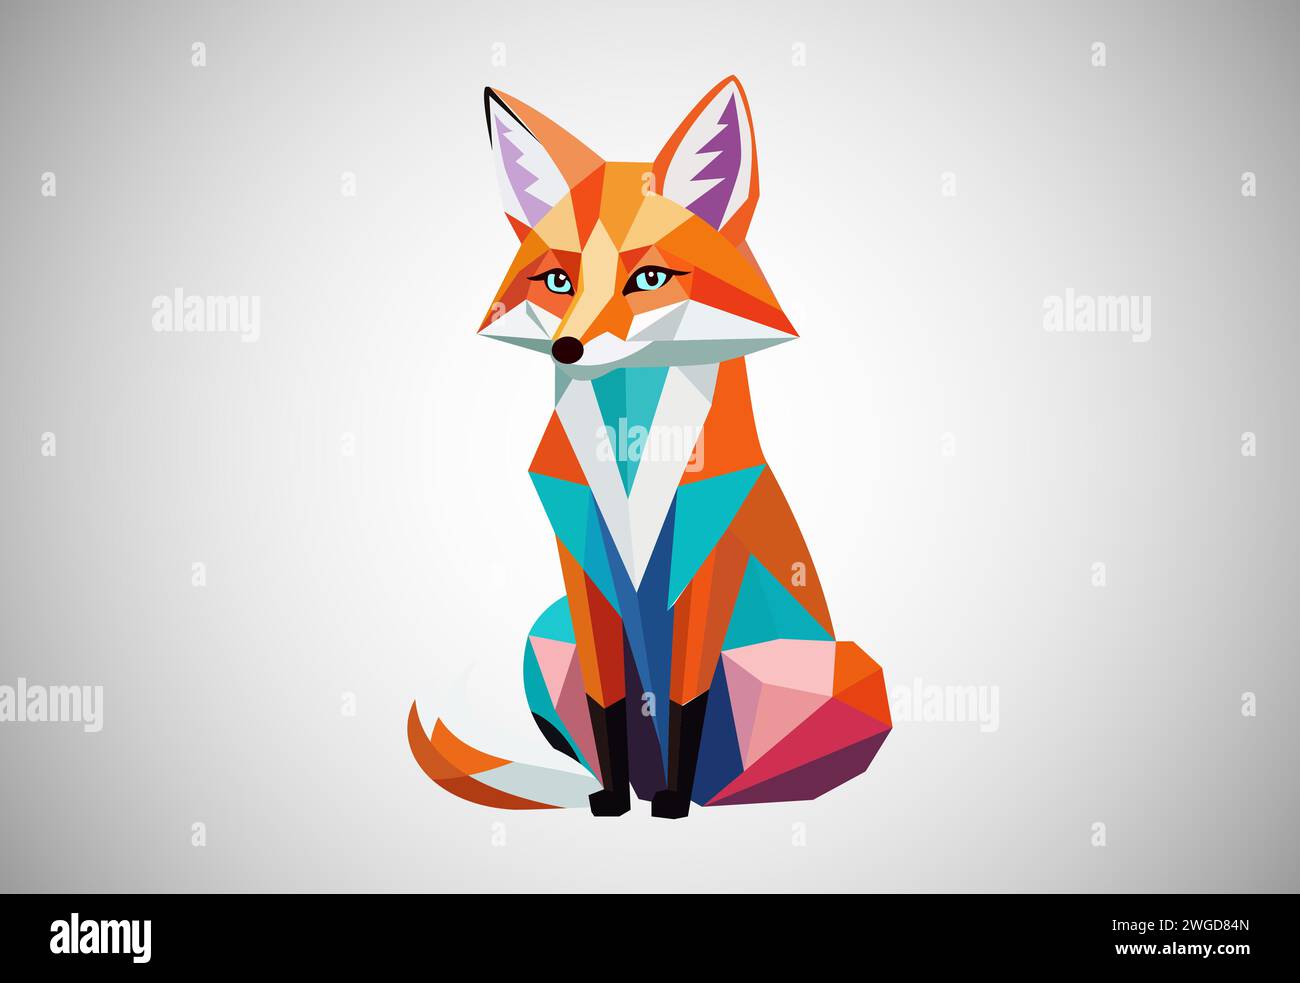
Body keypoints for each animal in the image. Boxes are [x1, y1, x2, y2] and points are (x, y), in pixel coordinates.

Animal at [408, 77, 891, 819]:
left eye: (651, 279)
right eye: (558, 282)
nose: (567, 347)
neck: (632, 436)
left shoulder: (704, 562)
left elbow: (684, 703)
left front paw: (670, 801)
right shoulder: (583, 565)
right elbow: (607, 702)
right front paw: (613, 799)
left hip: (819, 670)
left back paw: (725, 792)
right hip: (544, 634)